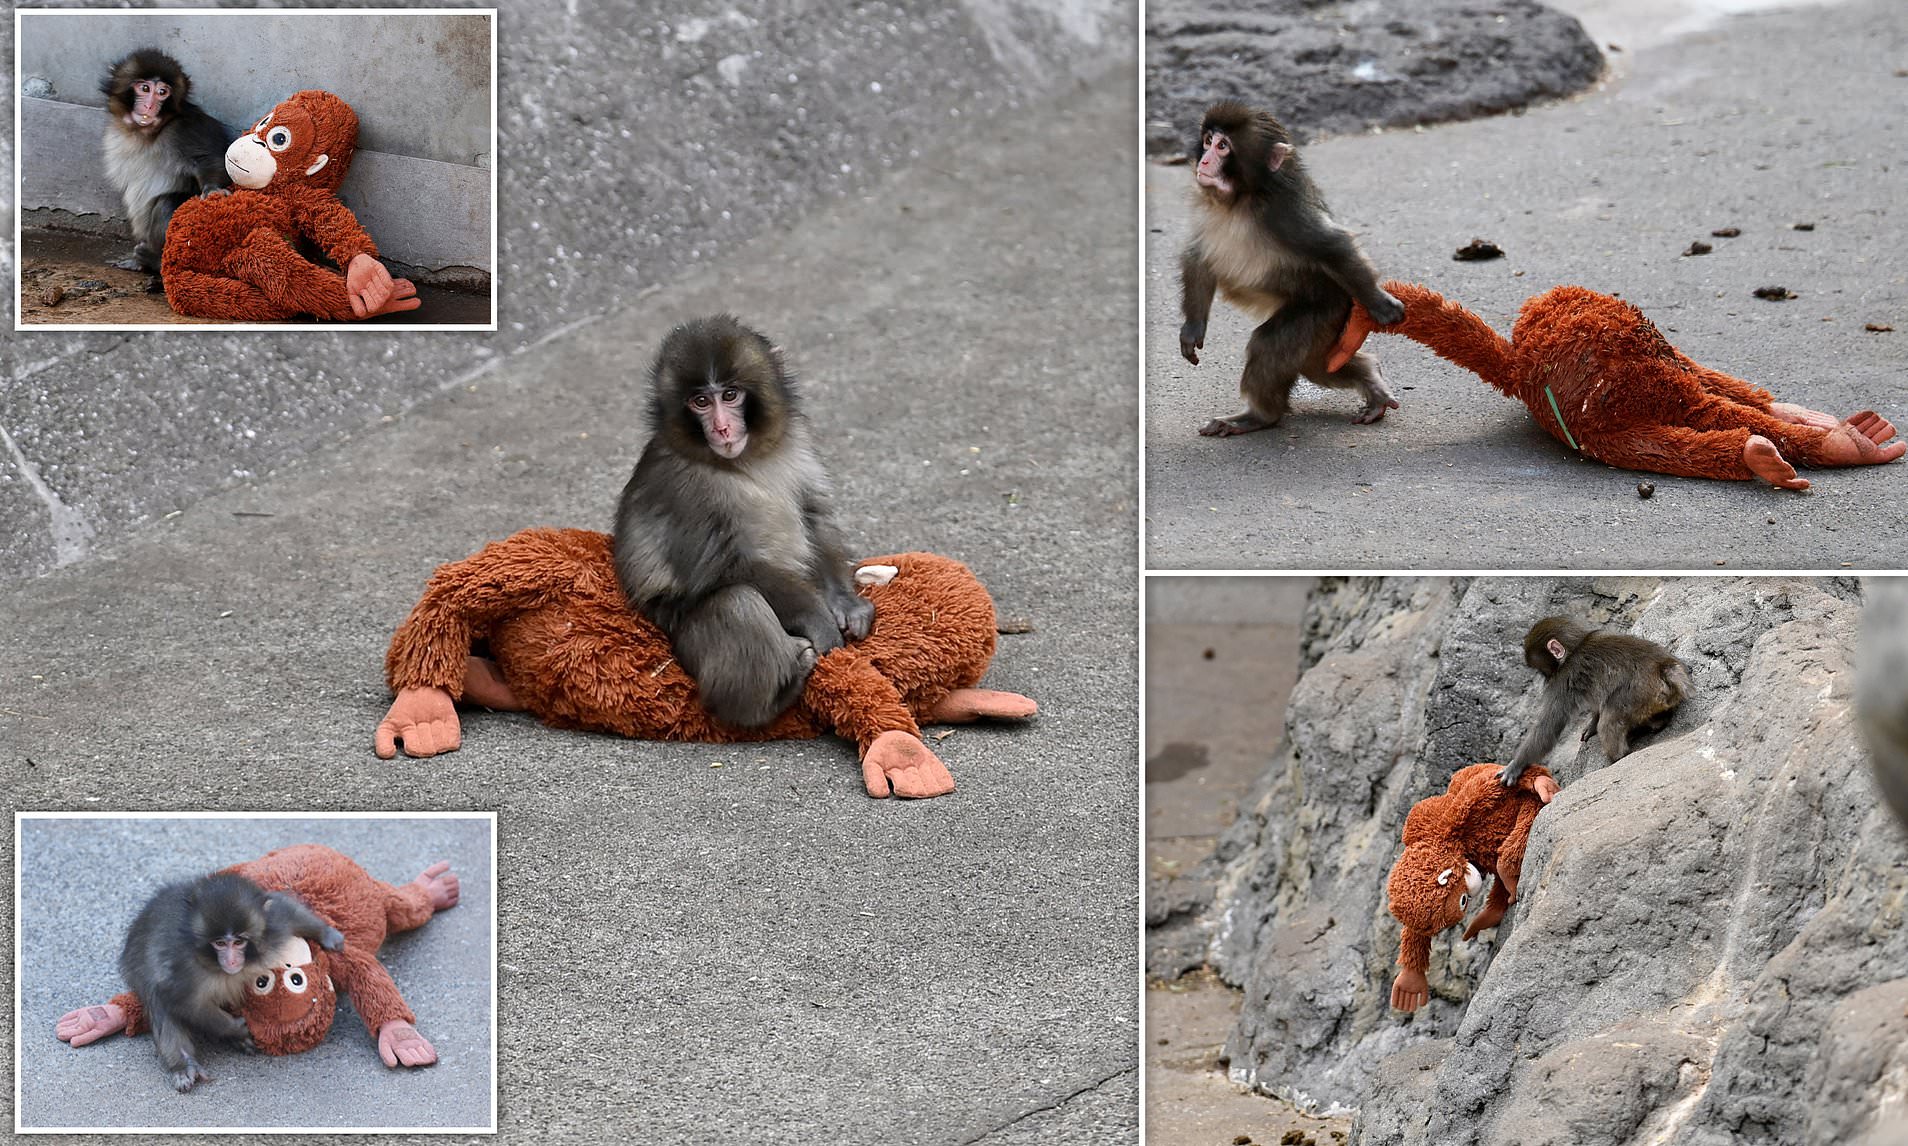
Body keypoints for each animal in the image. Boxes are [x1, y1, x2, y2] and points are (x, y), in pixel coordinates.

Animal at [101, 49, 231, 278]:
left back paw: (153, 260)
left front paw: (213, 189)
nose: (150, 105)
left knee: (167, 204)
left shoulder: (185, 128)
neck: (147, 133)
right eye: (145, 88)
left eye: (162, 92)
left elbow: (211, 159)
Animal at [119, 872, 343, 1091]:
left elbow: (286, 910)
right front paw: (235, 1028)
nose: (231, 960)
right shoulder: (183, 968)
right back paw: (183, 1064)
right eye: (219, 943)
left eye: (238, 941)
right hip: (136, 969)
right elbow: (183, 1002)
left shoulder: (273, 925)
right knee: (158, 1000)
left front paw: (328, 934)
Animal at [613, 315, 875, 730]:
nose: (721, 429)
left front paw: (845, 604)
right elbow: (728, 567)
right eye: (701, 402)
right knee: (736, 602)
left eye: (731, 395)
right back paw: (770, 700)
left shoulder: (797, 440)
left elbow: (813, 514)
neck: (742, 460)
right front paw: (819, 620)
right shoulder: (684, 489)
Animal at [1178, 101, 1405, 435]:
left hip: (1324, 309)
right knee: (1320, 365)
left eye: (1222, 147)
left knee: (1271, 345)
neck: (1240, 199)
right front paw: (1193, 328)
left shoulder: (1285, 214)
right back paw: (1371, 377)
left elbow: (1332, 245)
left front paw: (1380, 303)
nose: (1204, 160)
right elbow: (1198, 257)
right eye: (1207, 141)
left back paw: (1260, 416)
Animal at [1498, 616, 1691, 788]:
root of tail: (1664, 668)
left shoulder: (1562, 679)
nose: (1545, 679)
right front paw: (1591, 725)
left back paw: (1617, 756)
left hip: (1637, 695)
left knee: (1609, 721)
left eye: (1542, 670)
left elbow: (1548, 726)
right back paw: (1657, 722)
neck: (1576, 647)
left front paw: (1516, 765)